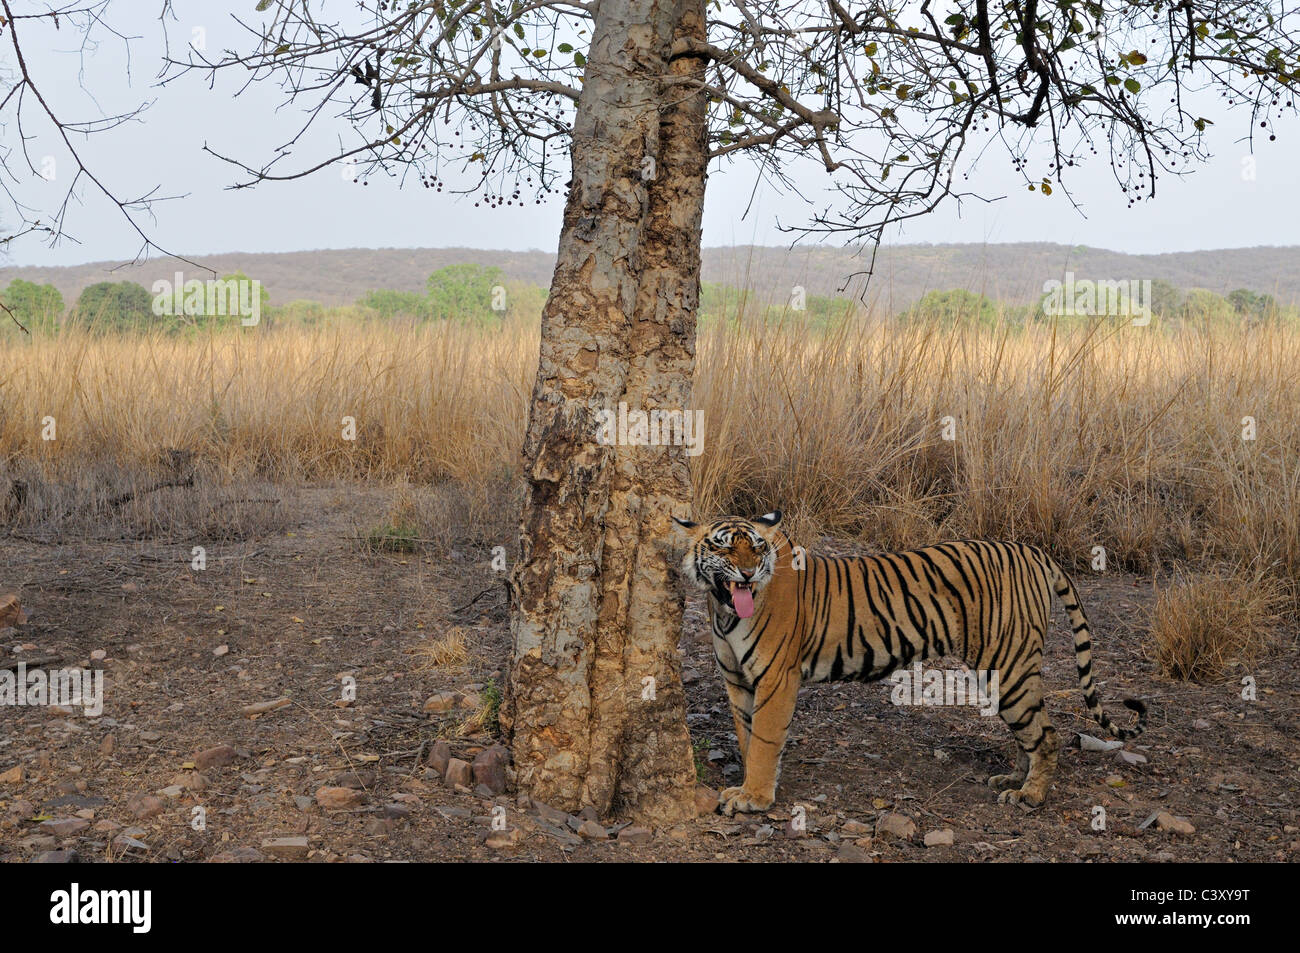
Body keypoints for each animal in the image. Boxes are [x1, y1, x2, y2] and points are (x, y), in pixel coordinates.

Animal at [674, 510, 1147, 815]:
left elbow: (765, 741)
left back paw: (1029, 796)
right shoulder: (737, 681)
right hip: (1003, 673)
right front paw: (745, 786)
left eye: (755, 548)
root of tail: (1032, 551)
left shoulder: (775, 679)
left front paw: (754, 797)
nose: (748, 574)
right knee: (1029, 732)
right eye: (723, 549)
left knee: (1046, 735)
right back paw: (1014, 780)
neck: (724, 609)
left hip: (1009, 665)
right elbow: (746, 735)